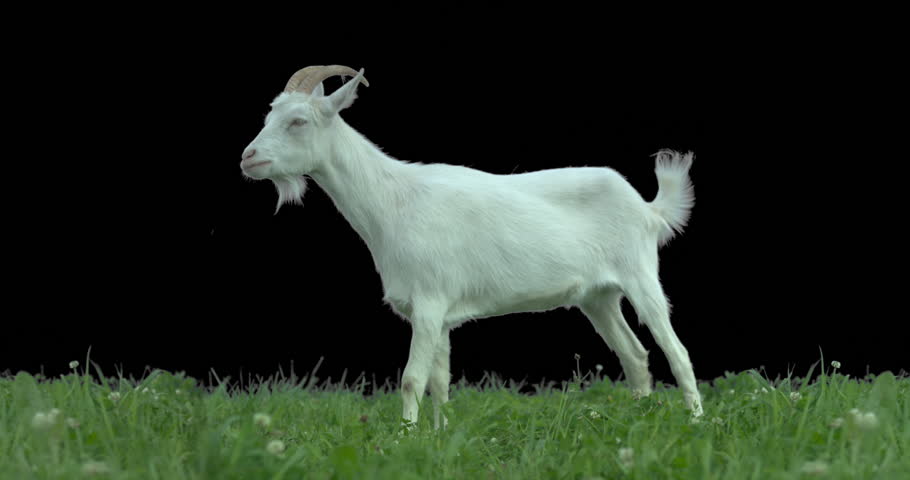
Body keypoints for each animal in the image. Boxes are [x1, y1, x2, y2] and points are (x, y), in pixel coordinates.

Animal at [240, 65, 703, 428]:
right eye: (270, 114)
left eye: (298, 121)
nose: (248, 158)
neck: (393, 201)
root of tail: (647, 208)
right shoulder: (441, 314)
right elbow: (439, 383)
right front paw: (439, 438)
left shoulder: (427, 304)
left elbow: (411, 380)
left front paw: (403, 440)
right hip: (598, 296)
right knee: (634, 355)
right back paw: (637, 421)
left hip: (640, 276)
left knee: (676, 351)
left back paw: (696, 422)